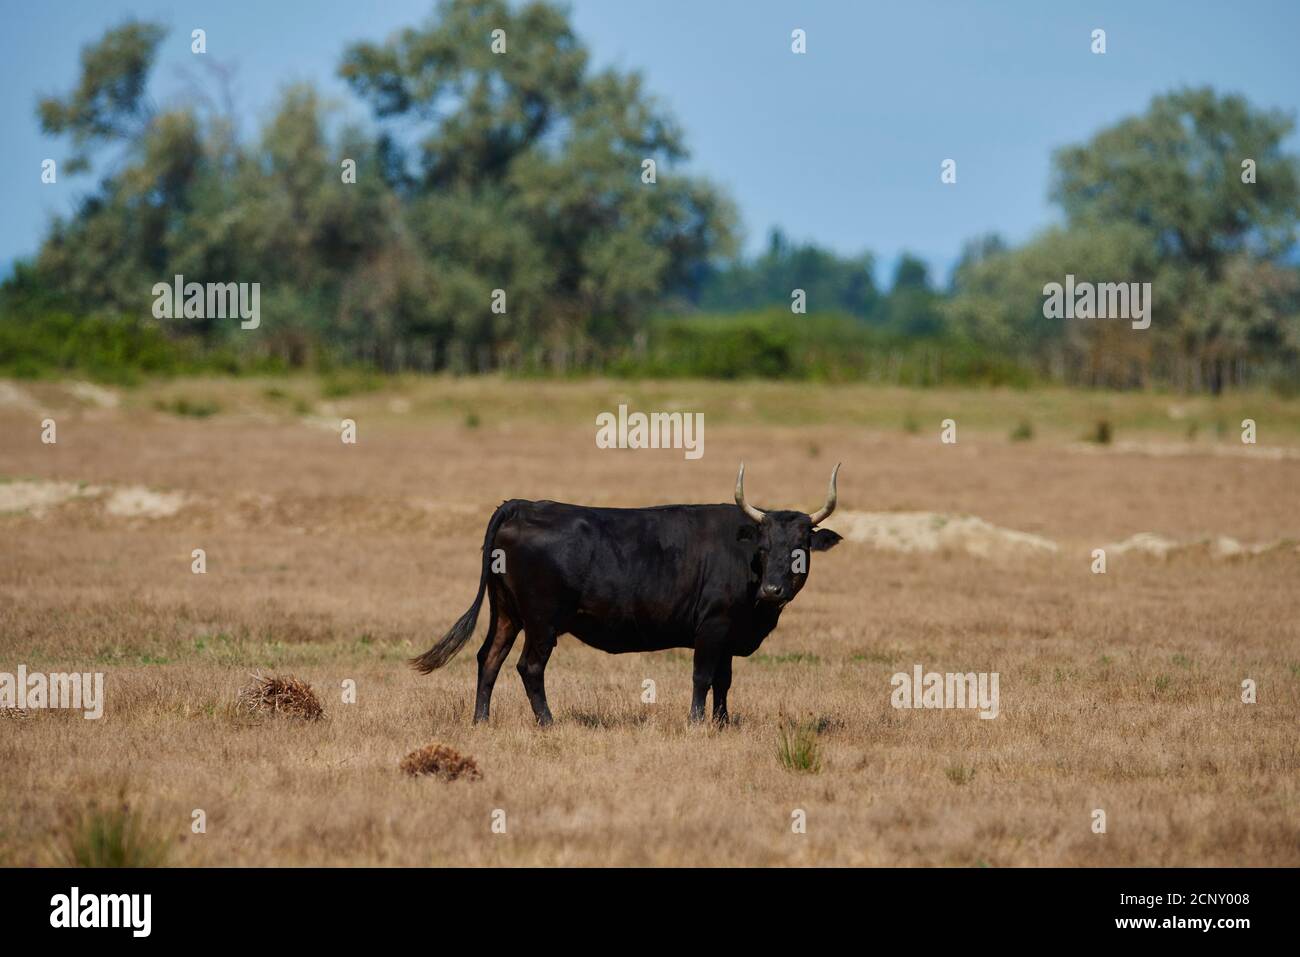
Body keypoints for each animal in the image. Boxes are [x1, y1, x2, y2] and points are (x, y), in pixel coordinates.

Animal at [411, 463, 843, 725]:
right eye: (764, 548)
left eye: (800, 549)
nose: (772, 589)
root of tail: (523, 506)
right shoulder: (713, 627)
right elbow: (703, 677)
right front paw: (696, 723)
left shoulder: (728, 634)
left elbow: (724, 681)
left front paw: (721, 724)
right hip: (541, 621)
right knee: (528, 667)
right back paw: (548, 722)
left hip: (506, 612)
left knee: (489, 659)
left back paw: (481, 720)